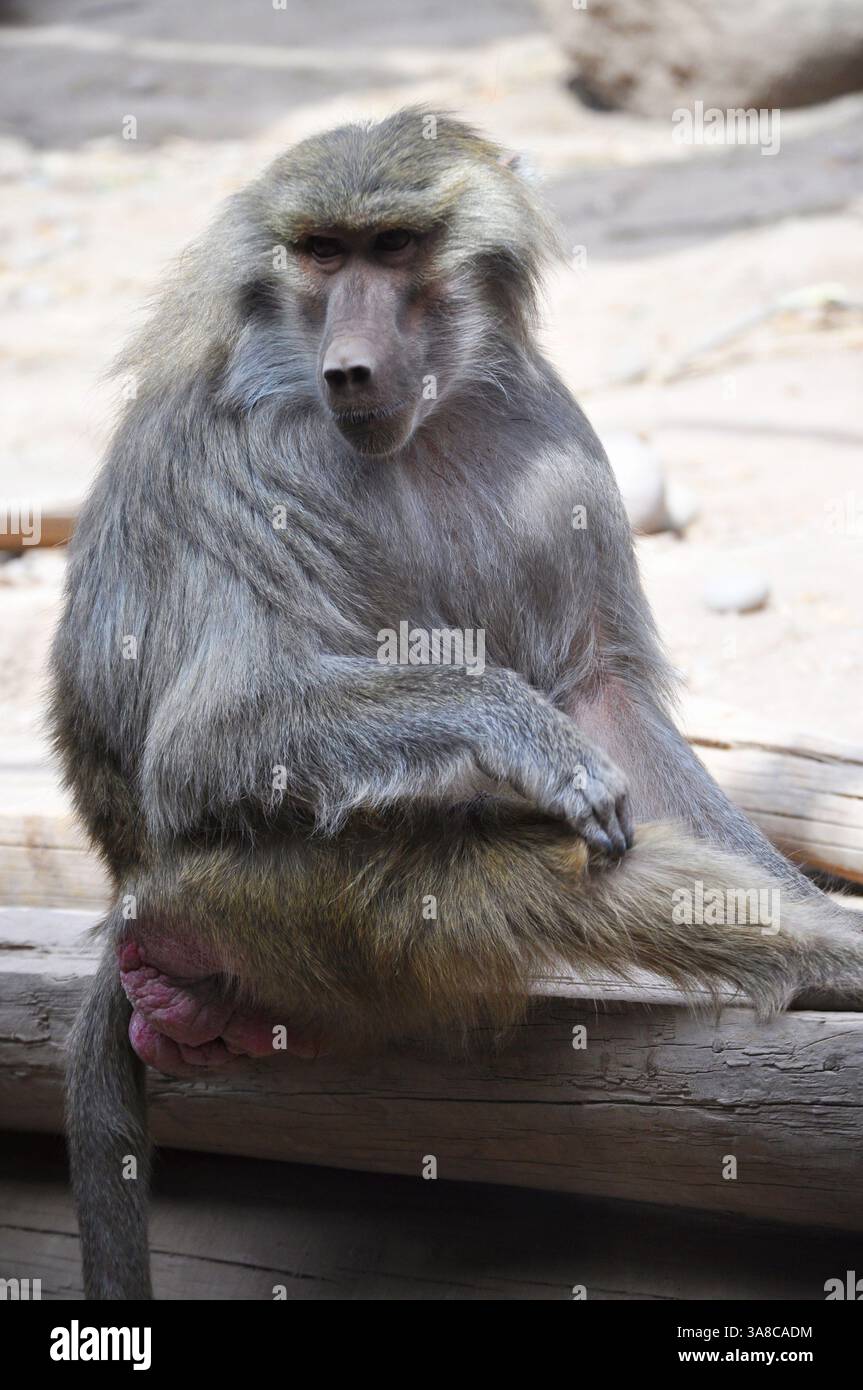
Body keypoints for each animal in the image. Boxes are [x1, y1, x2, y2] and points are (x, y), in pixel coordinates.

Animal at [50, 107, 863, 1300]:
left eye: (393, 247)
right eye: (319, 253)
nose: (348, 368)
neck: (422, 424)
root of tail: (127, 899)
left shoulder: (548, 441)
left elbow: (597, 690)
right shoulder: (257, 461)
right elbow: (210, 741)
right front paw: (519, 732)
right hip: (255, 905)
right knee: (546, 878)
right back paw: (823, 965)